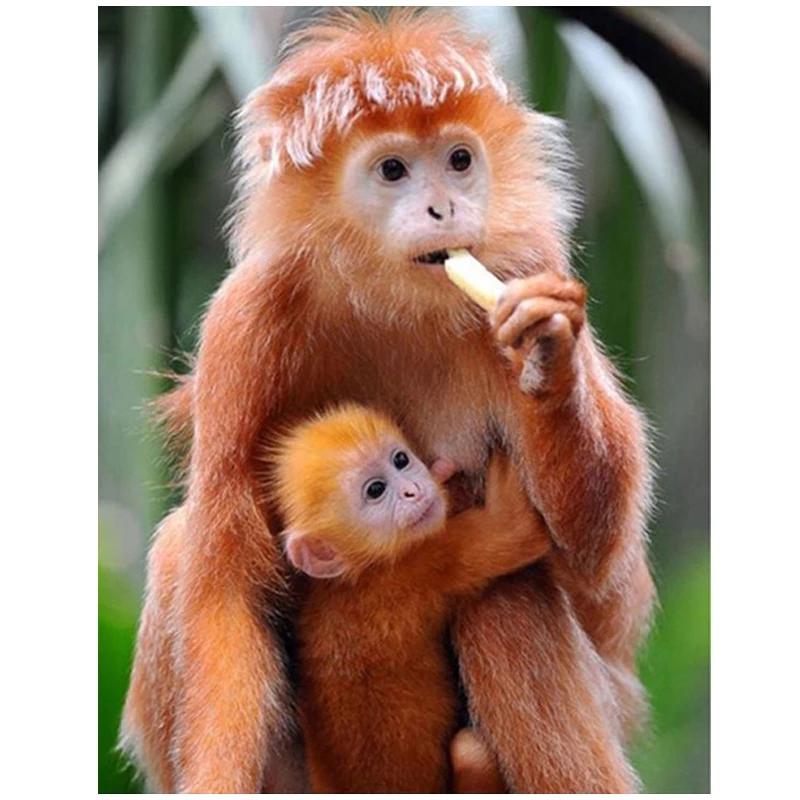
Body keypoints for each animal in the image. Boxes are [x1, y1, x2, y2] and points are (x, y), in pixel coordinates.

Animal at [269, 403, 550, 792]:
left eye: (400, 460)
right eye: (375, 490)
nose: (413, 491)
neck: (360, 571)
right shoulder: (424, 564)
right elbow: (518, 528)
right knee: (471, 749)